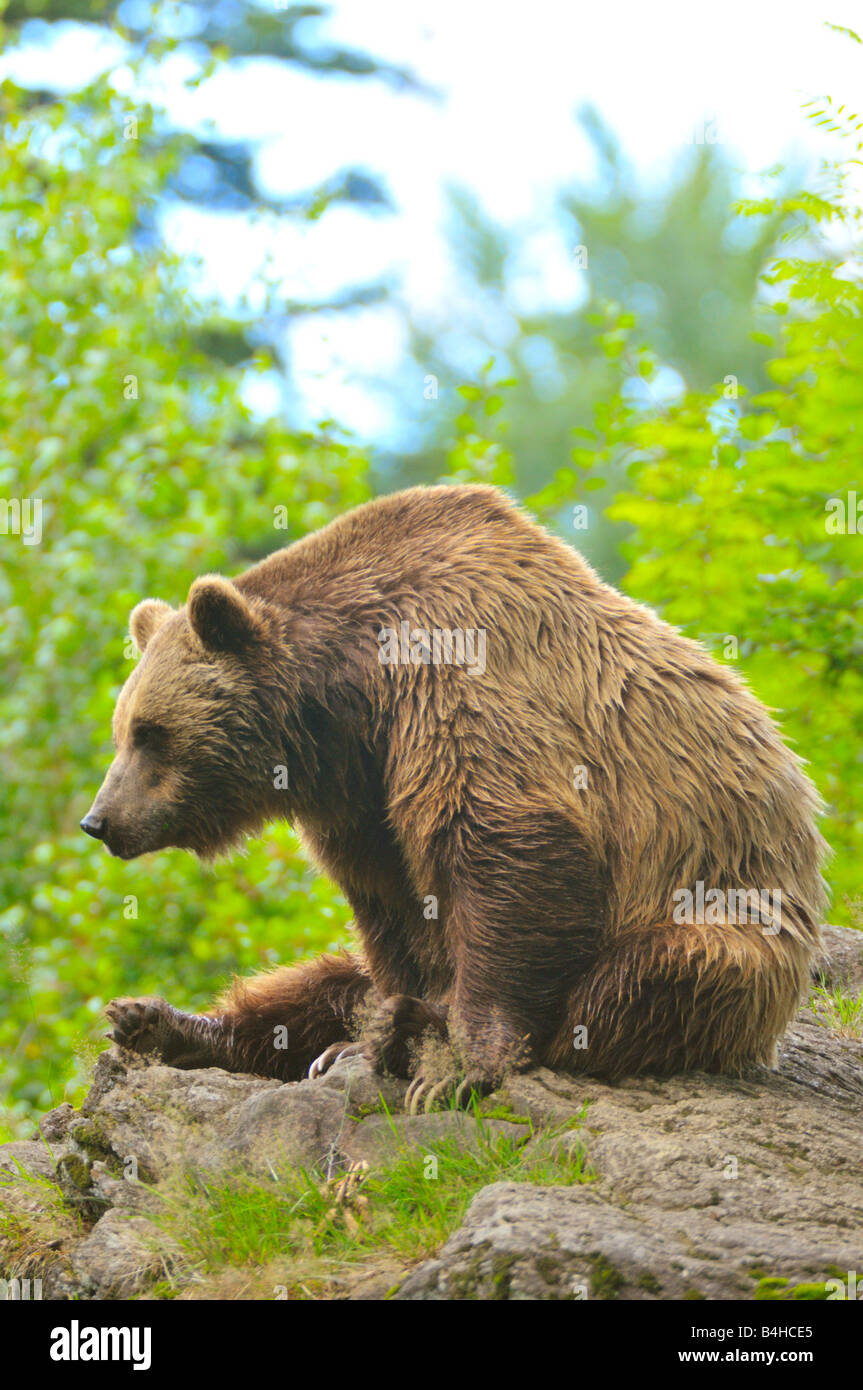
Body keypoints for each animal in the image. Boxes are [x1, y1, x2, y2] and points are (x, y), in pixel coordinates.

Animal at [82, 483, 827, 1108]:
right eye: (122, 730)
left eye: (150, 733)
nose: (100, 821)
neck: (351, 694)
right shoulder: (359, 790)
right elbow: (390, 909)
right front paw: (359, 1039)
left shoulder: (458, 683)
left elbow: (505, 848)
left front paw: (458, 1058)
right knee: (323, 979)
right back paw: (165, 1022)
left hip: (726, 908)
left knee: (649, 977)